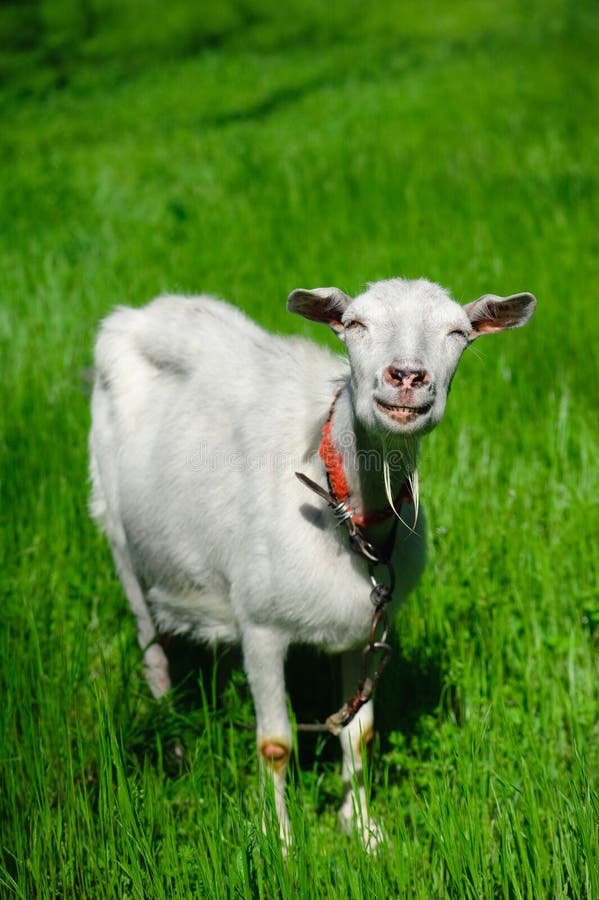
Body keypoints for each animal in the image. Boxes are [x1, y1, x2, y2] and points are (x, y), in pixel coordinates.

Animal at [89, 277, 536, 846]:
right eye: (355, 324)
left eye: (458, 332)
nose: (407, 376)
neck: (338, 500)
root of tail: (138, 314)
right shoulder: (260, 624)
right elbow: (275, 744)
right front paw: (278, 841)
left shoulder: (365, 629)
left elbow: (359, 733)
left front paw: (363, 831)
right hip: (118, 537)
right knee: (155, 658)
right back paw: (176, 751)